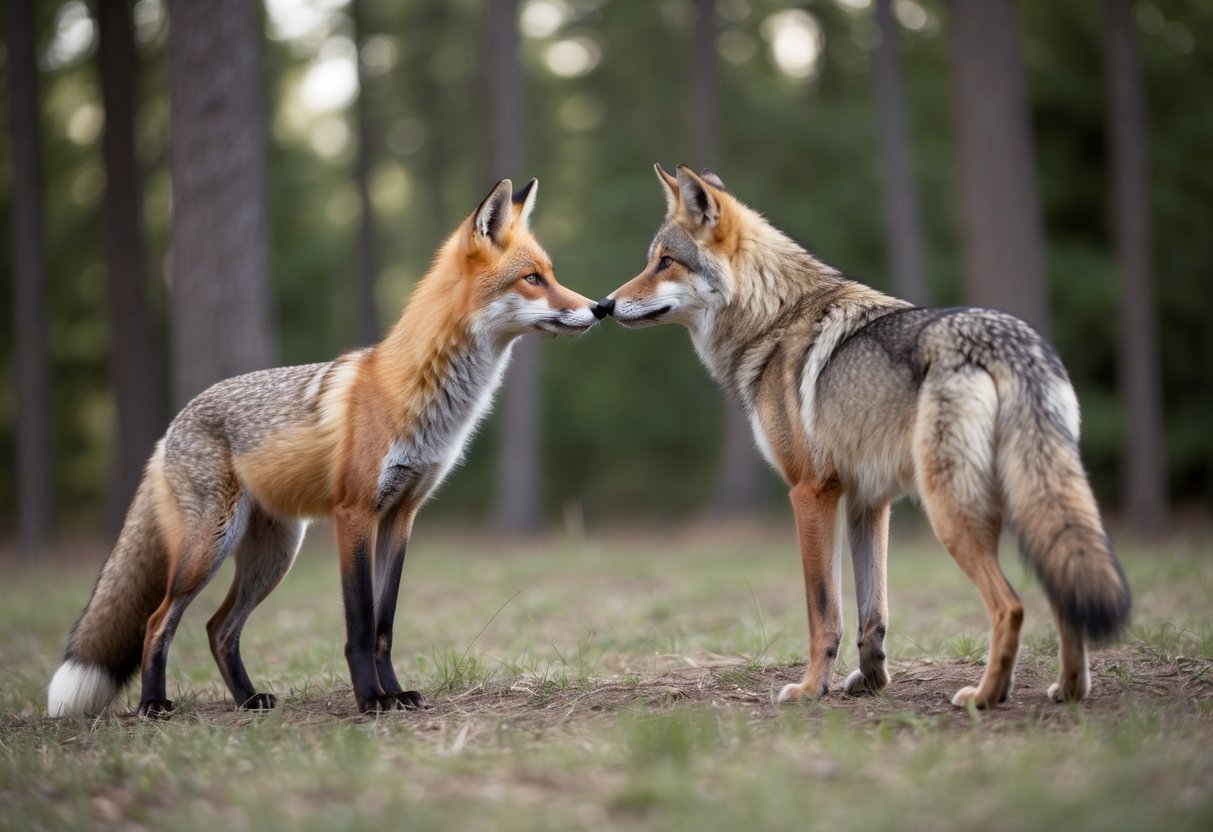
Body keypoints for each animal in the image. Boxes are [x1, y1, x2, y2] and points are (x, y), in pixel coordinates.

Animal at [48, 178, 603, 717]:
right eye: (532, 278)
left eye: (550, 274)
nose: (597, 309)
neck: (422, 397)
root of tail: (170, 428)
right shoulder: (354, 512)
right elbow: (359, 624)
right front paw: (371, 700)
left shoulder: (402, 514)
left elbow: (384, 625)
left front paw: (396, 695)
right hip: (208, 547)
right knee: (157, 621)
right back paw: (153, 704)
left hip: (273, 557)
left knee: (218, 627)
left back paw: (249, 700)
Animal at [599, 164, 1131, 709]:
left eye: (665, 262)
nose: (603, 305)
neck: (772, 319)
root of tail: (1010, 344)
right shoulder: (867, 502)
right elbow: (873, 615)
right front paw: (871, 683)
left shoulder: (811, 493)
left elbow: (823, 612)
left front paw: (811, 689)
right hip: (1033, 505)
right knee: (1065, 598)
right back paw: (1069, 689)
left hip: (951, 515)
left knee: (1011, 606)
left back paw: (985, 696)